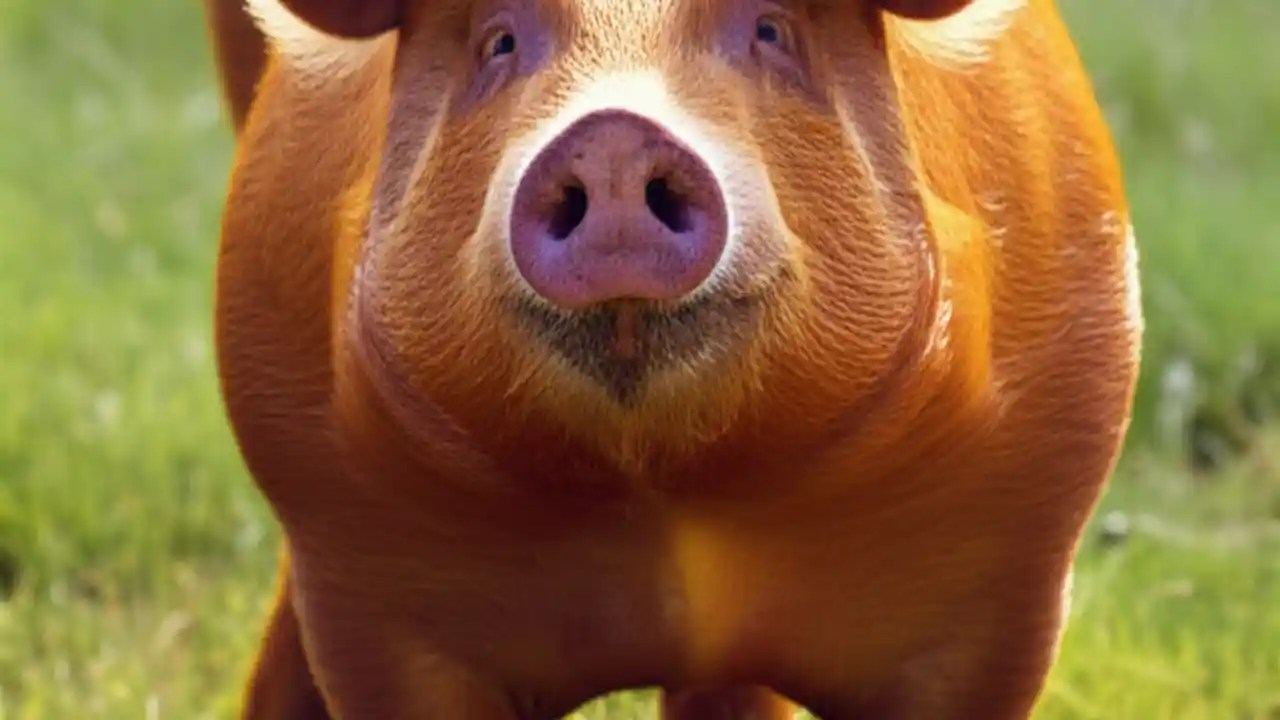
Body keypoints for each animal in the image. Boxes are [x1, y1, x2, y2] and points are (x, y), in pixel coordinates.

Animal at [208, 0, 1142, 717]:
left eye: (771, 29)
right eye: (498, 41)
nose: (614, 133)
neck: (671, 481)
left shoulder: (1006, 580)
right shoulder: (361, 574)